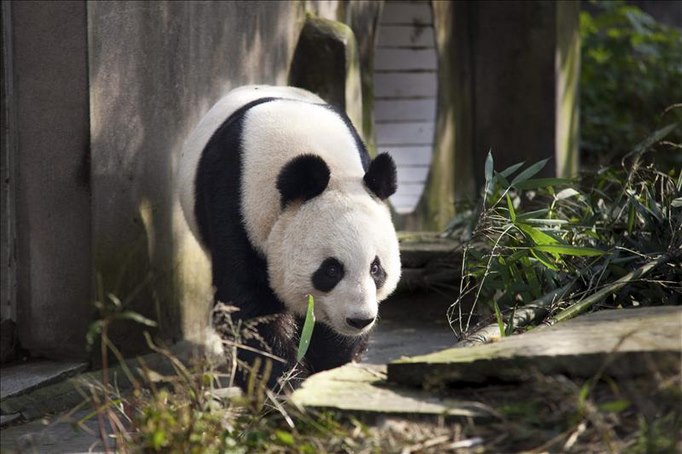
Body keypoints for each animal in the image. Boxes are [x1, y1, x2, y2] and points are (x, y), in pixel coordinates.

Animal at [178, 85, 401, 389]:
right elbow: (249, 308)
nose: (360, 319)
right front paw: (279, 384)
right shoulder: (234, 204)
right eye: (331, 270)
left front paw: (328, 368)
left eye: (376, 268)